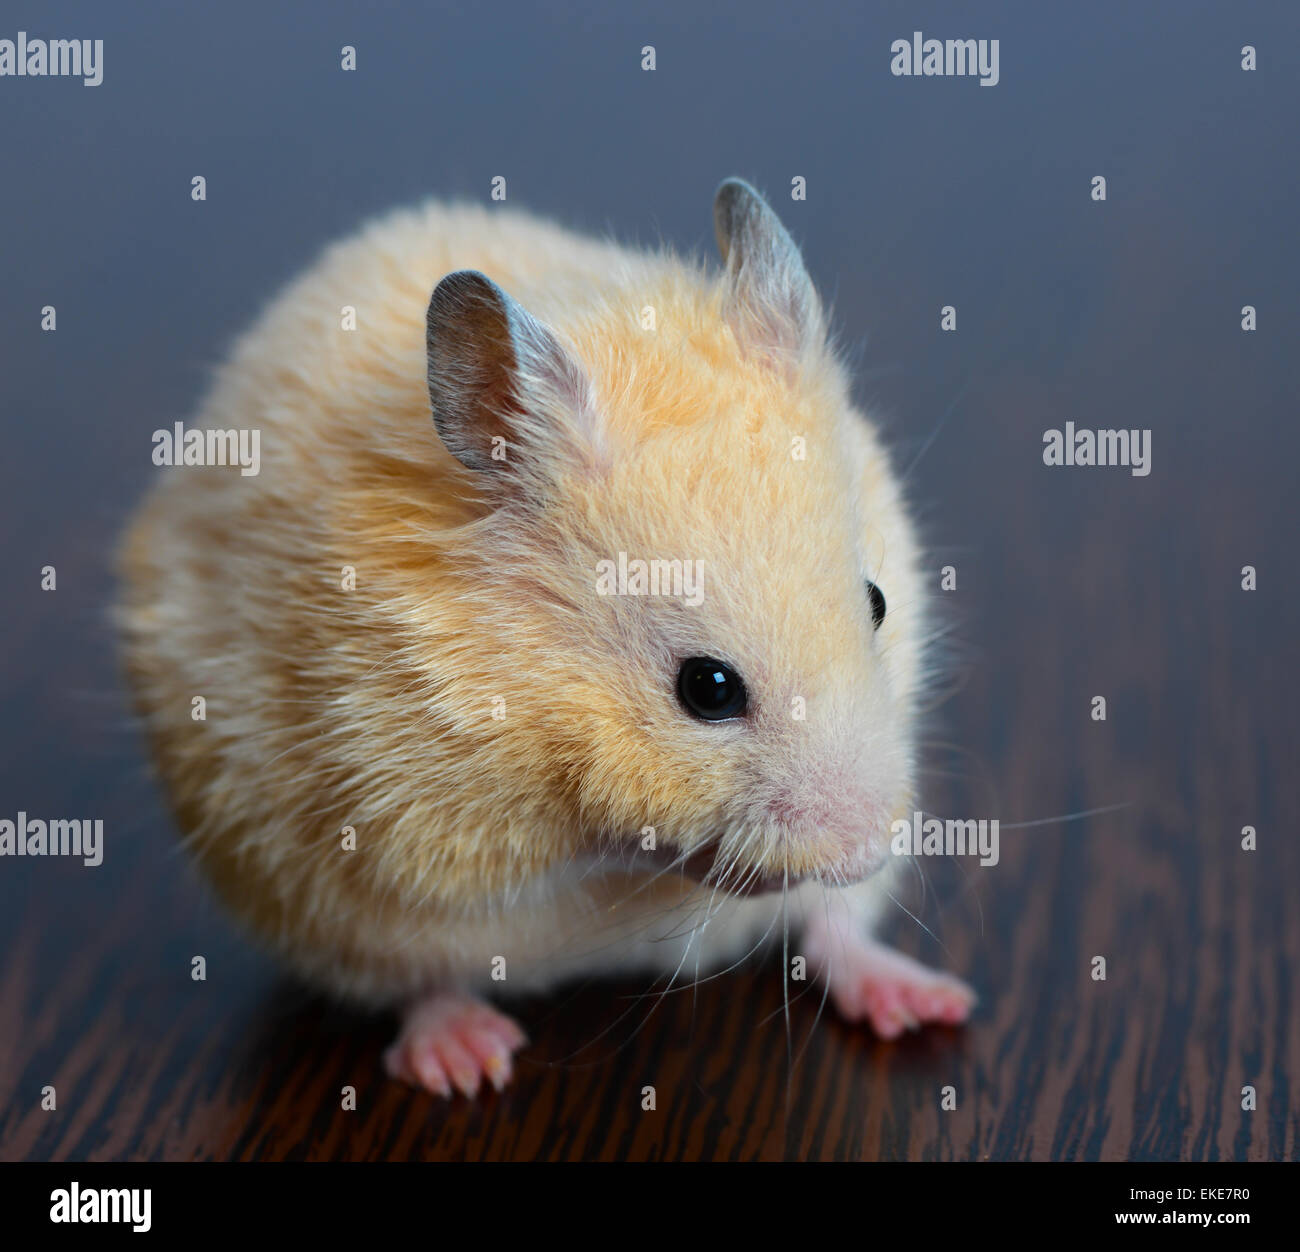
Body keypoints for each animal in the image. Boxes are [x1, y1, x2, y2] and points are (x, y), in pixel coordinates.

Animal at [117, 179, 974, 1098]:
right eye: (707, 689)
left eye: (877, 602)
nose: (864, 851)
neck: (552, 708)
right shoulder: (413, 815)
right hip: (327, 913)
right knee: (417, 984)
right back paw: (467, 1062)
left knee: (834, 931)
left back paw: (928, 1004)